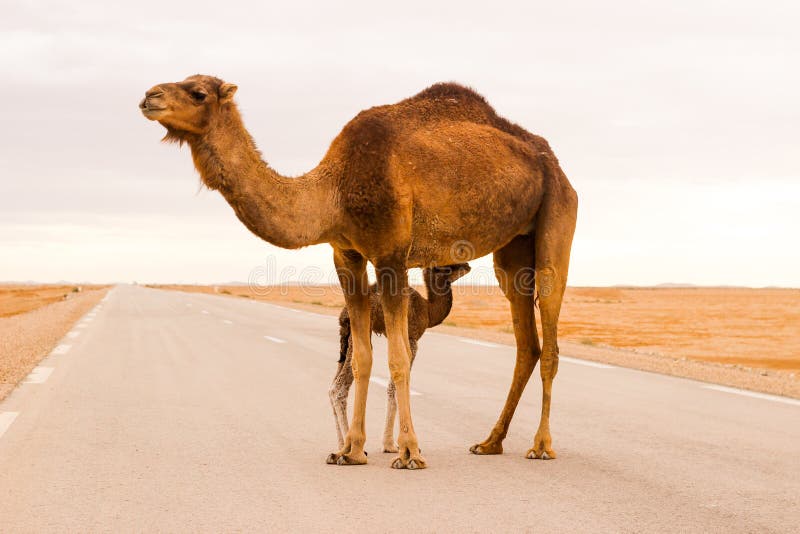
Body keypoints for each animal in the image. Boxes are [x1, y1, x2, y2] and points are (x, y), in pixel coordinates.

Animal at [331, 263, 471, 454]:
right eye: (447, 268)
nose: (467, 266)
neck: (427, 309)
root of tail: (343, 315)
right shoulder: (412, 340)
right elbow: (396, 386)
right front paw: (393, 445)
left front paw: (392, 444)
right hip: (359, 334)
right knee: (339, 388)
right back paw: (350, 447)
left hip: (345, 341)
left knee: (331, 387)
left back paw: (340, 445)